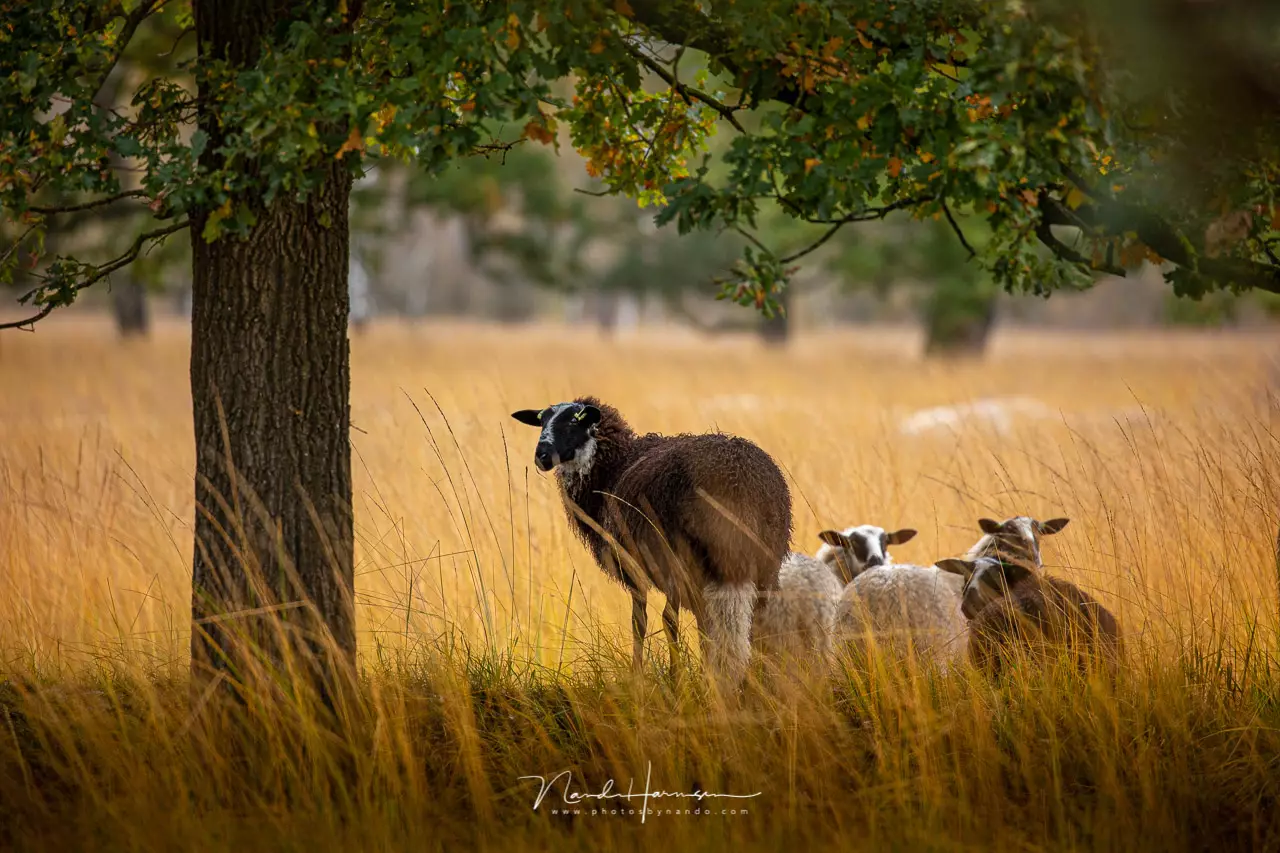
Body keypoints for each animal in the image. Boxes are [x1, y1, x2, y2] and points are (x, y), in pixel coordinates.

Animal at [509, 394, 788, 681]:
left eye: (575, 422)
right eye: (541, 421)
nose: (541, 456)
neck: (612, 467)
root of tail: (739, 482)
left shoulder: (633, 563)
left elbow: (639, 621)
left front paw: (639, 676)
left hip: (680, 556)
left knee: (672, 618)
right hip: (764, 560)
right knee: (755, 620)